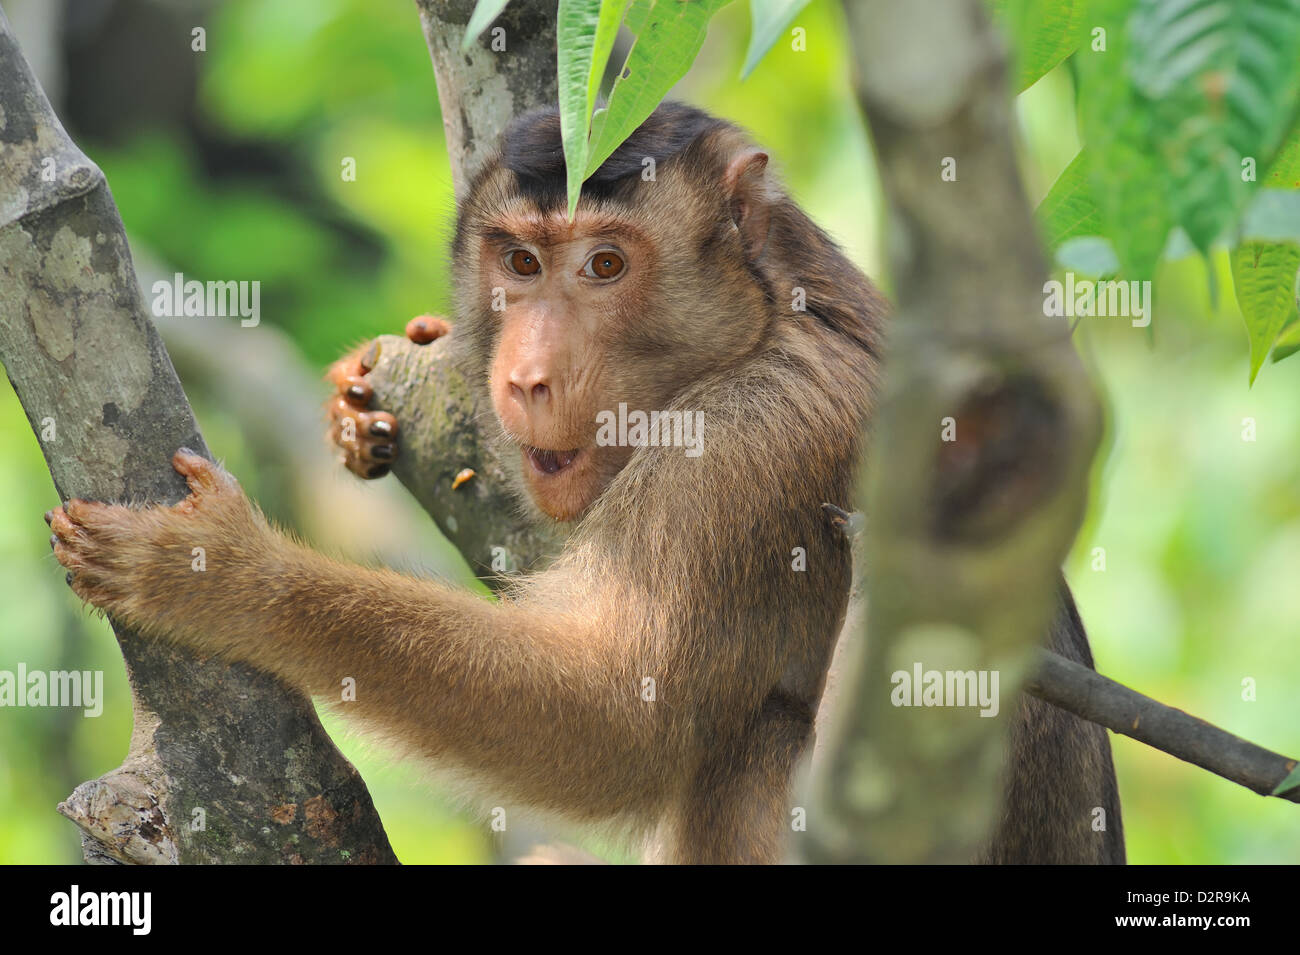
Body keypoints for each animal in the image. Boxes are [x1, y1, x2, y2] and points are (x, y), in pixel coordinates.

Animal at [47, 101, 1122, 864]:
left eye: (605, 265)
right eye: (521, 261)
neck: (771, 315)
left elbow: (620, 717)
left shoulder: (749, 453)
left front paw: (226, 576)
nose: (526, 375)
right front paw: (373, 395)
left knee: (751, 739)